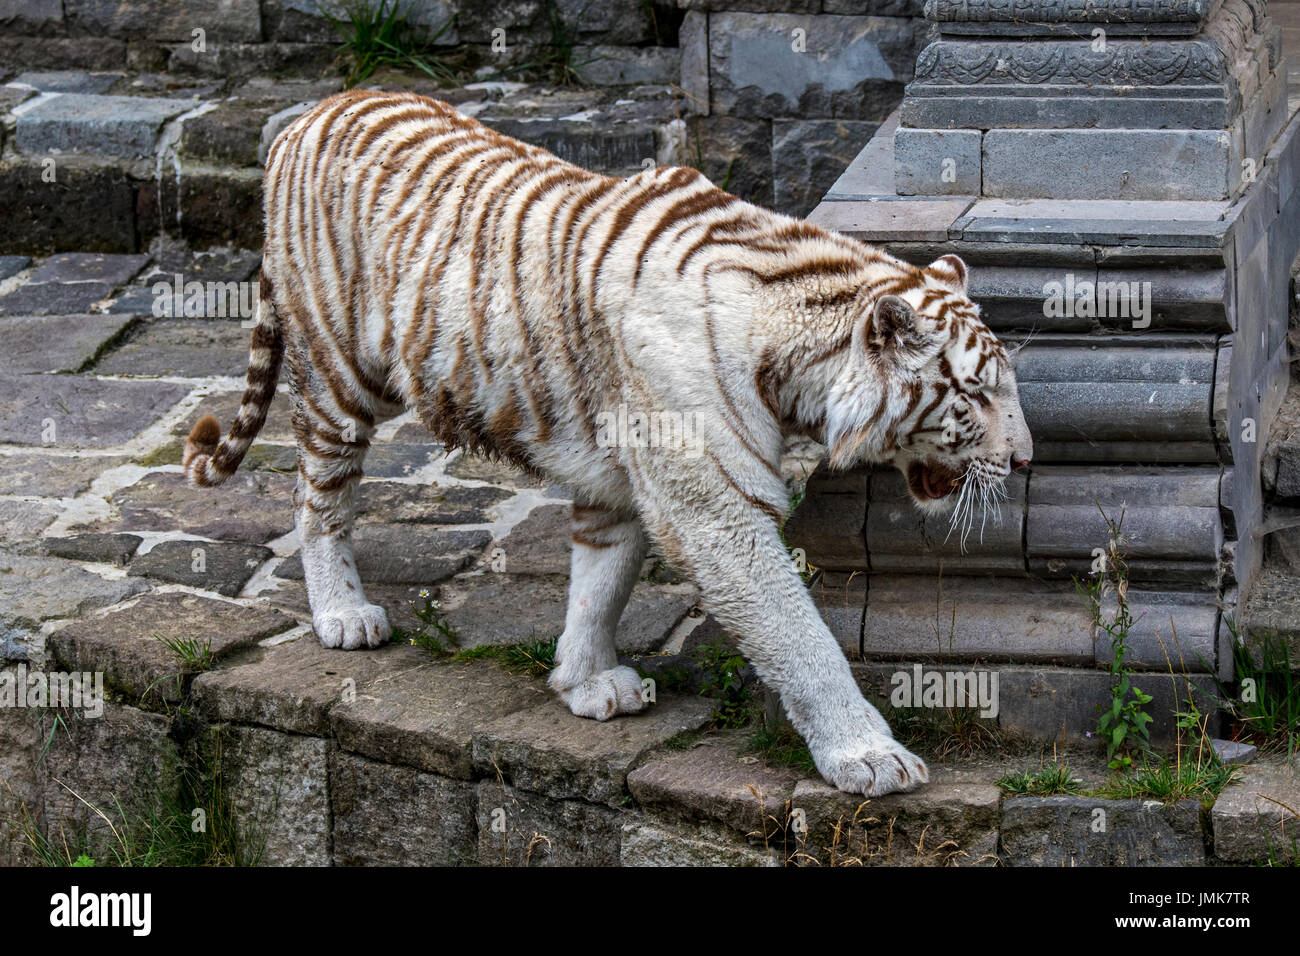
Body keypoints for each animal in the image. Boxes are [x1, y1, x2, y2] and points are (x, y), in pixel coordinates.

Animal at [183, 89, 1033, 798]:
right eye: (977, 394)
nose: (1026, 460)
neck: (795, 358)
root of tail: (310, 112)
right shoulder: (716, 512)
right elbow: (801, 639)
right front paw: (870, 757)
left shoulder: (623, 477)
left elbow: (602, 579)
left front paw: (583, 681)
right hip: (338, 378)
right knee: (317, 496)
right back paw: (343, 613)